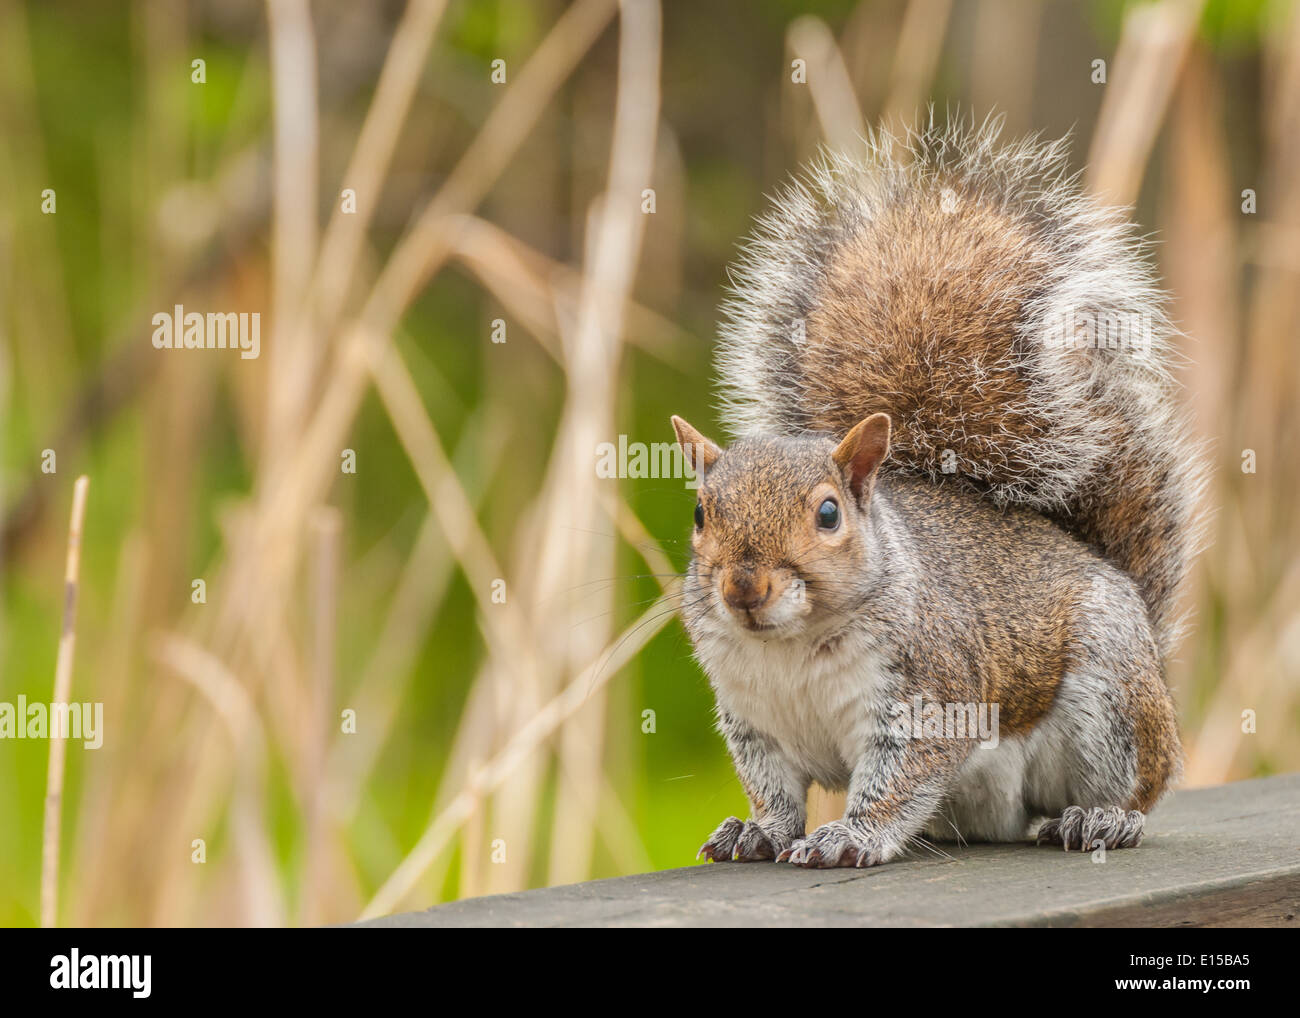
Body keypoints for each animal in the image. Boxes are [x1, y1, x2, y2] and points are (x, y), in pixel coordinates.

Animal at [670, 117, 1207, 869]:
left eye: (828, 514)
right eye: (700, 512)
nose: (743, 587)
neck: (790, 647)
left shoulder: (933, 693)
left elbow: (898, 780)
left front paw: (851, 836)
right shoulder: (754, 724)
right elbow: (774, 793)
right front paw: (759, 831)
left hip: (1113, 695)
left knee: (1140, 781)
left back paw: (1103, 820)